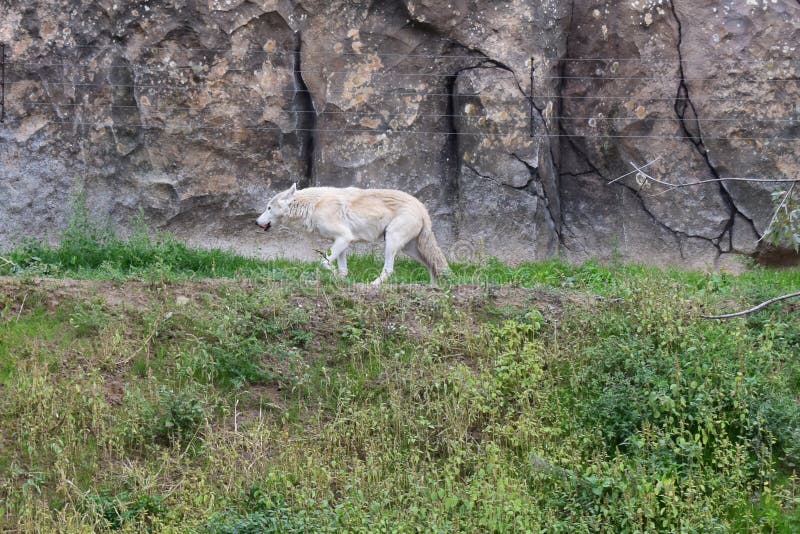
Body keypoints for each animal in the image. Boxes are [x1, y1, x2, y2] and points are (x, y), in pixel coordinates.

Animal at [256, 184, 450, 285]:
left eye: (268, 208)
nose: (256, 222)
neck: (314, 206)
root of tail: (422, 207)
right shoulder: (341, 242)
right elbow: (342, 270)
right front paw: (340, 279)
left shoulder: (344, 238)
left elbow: (323, 262)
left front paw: (333, 274)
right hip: (409, 250)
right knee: (432, 265)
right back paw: (433, 287)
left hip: (391, 242)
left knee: (389, 270)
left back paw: (372, 285)